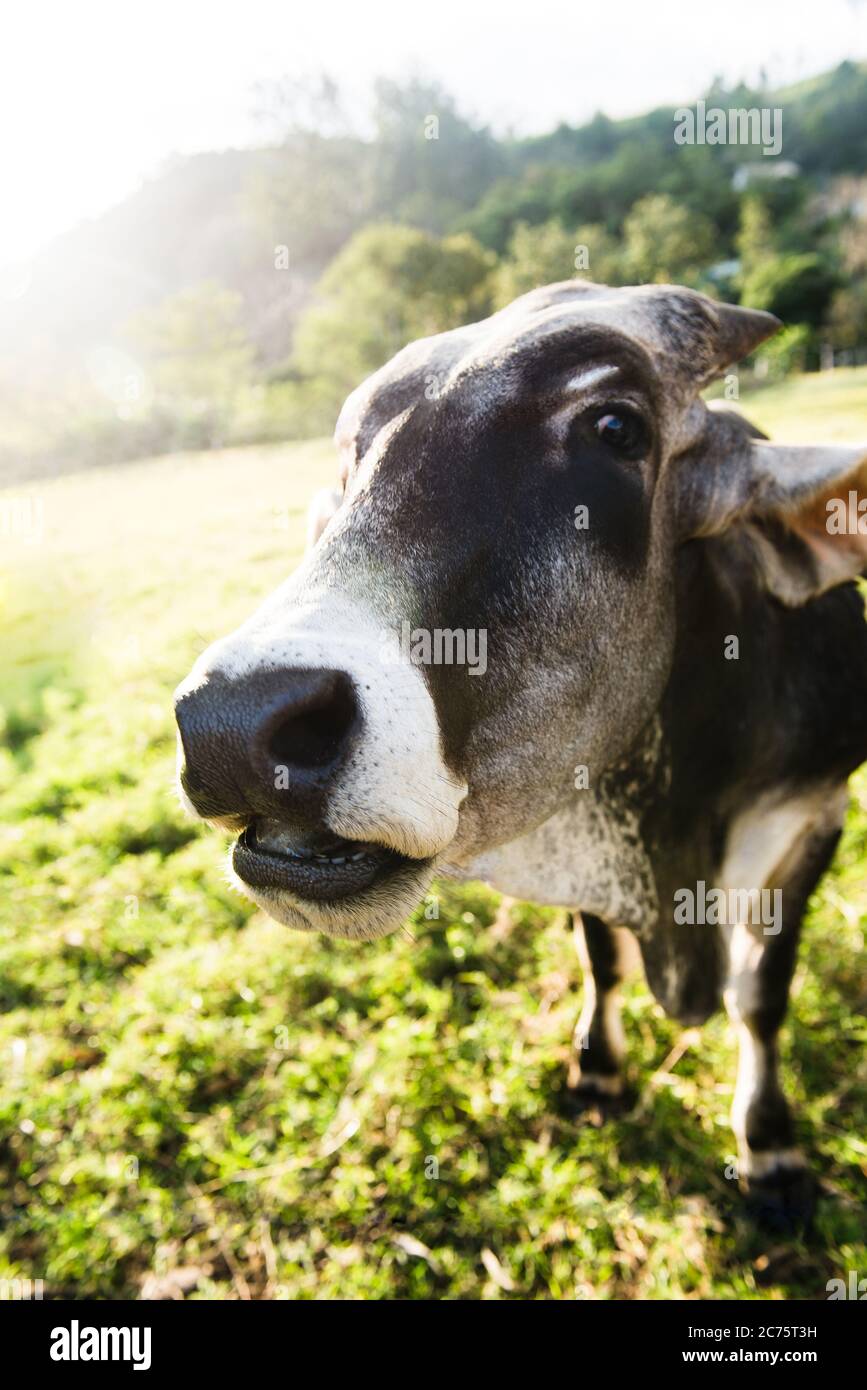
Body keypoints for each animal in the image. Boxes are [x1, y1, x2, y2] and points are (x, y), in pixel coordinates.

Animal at [174, 280, 867, 1226]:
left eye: (616, 427)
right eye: (353, 449)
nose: (231, 730)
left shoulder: (813, 816)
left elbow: (759, 996)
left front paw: (769, 1150)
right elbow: (602, 959)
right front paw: (600, 1070)